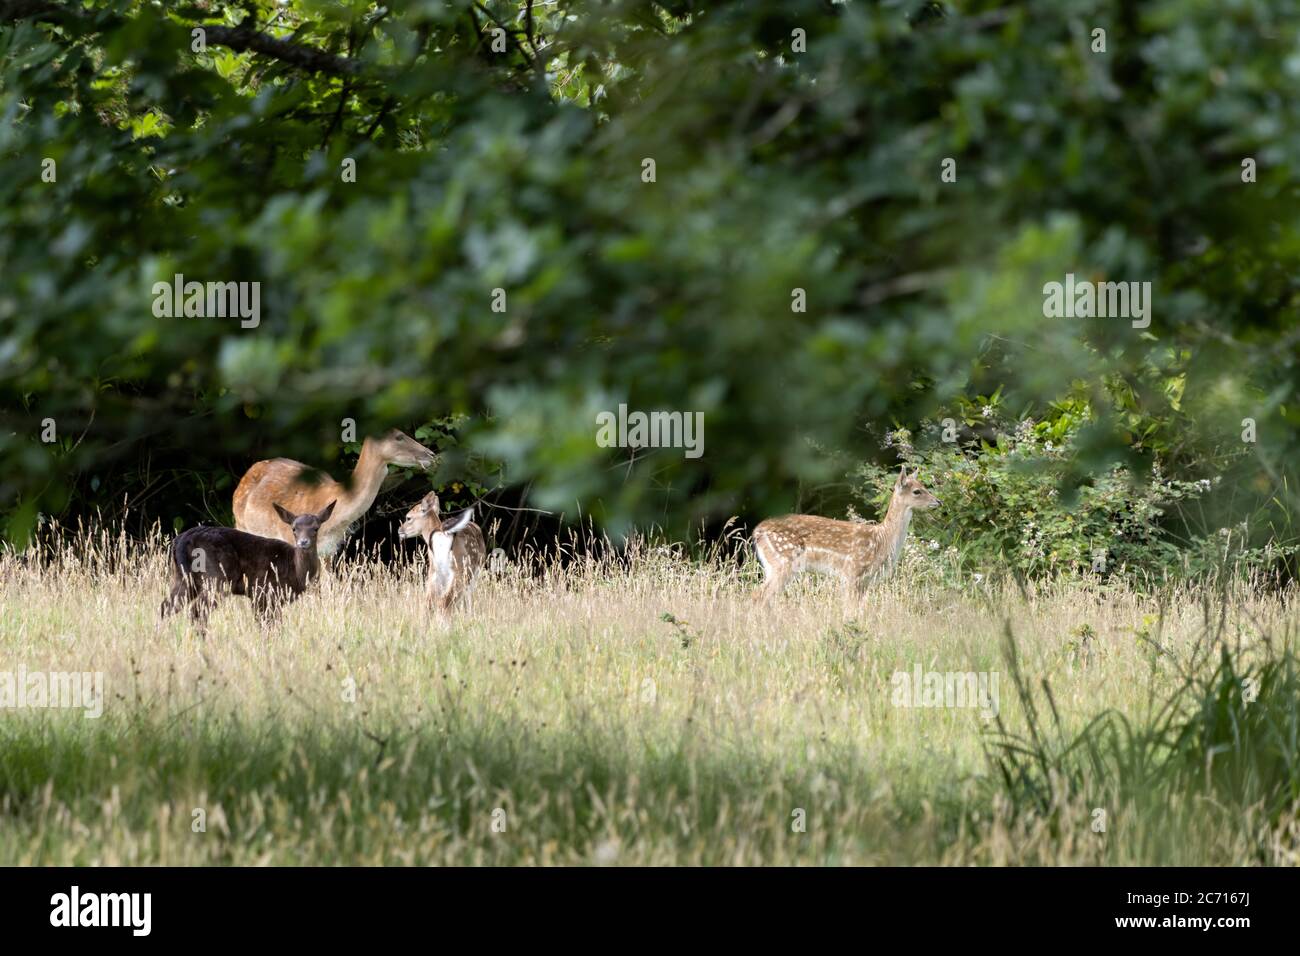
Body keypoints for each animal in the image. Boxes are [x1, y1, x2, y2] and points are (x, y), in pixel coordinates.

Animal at [160, 501, 336, 629]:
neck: (294, 570)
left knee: (167, 606)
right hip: (216, 577)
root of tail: (181, 541)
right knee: (196, 611)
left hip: (183, 576)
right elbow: (267, 625)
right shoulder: (262, 591)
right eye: (294, 528)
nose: (303, 542)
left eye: (316, 528)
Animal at [752, 466, 940, 604]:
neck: (883, 540)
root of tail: (757, 532)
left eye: (924, 486)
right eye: (917, 491)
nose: (938, 501)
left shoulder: (865, 581)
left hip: (775, 566)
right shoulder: (852, 572)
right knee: (759, 596)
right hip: (783, 561)